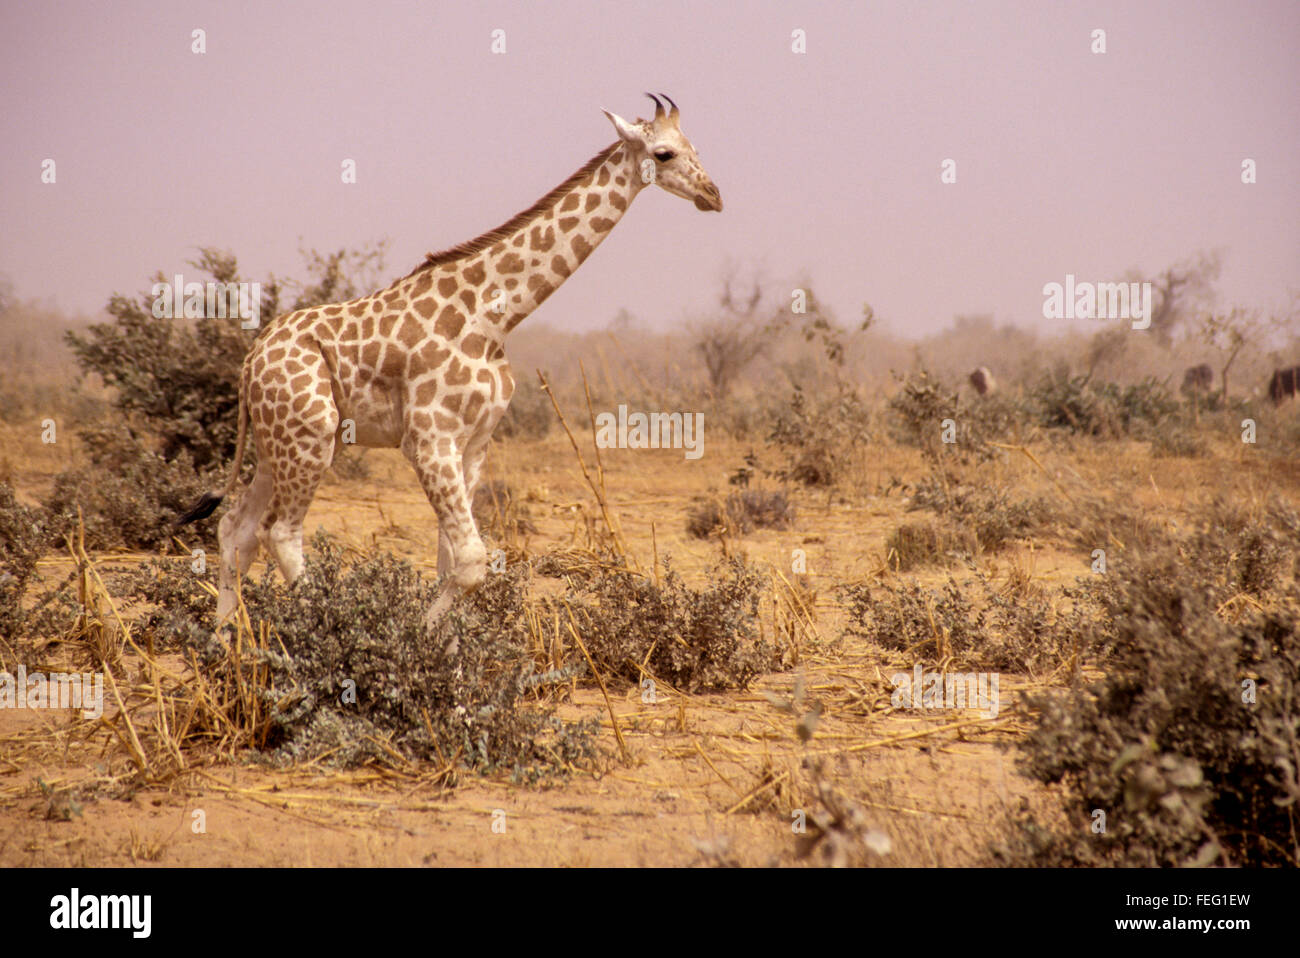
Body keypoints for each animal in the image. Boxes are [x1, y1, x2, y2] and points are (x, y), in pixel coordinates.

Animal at [179, 94, 722, 637]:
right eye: (665, 152)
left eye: (695, 145)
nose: (713, 195)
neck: (494, 317)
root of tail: (251, 361)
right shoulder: (429, 440)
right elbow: (472, 562)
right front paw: (416, 644)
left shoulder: (474, 443)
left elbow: (449, 563)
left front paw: (445, 652)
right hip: (310, 436)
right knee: (281, 533)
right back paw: (328, 632)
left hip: (280, 441)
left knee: (237, 528)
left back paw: (224, 642)